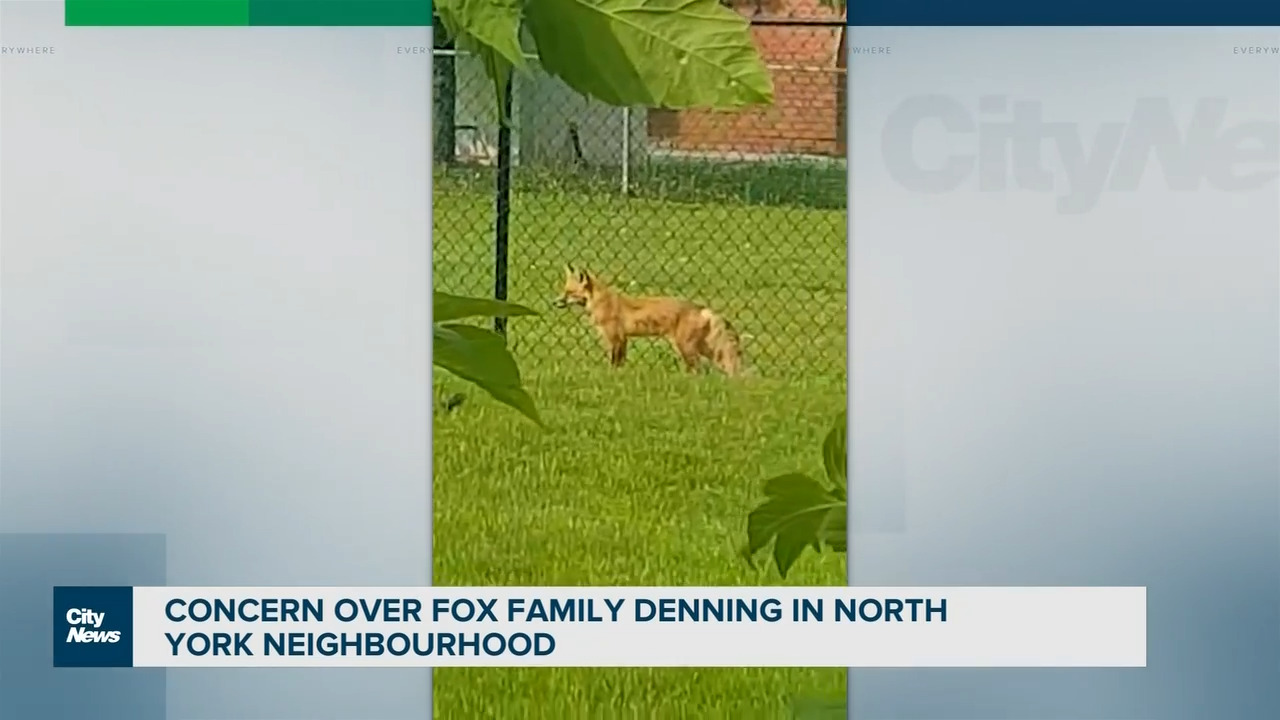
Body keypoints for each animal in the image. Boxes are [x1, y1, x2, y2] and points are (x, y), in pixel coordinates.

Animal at [553, 264, 744, 376]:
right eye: (564, 291)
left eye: (569, 293)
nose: (554, 302)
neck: (601, 302)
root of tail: (701, 308)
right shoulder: (623, 339)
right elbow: (620, 363)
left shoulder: (614, 338)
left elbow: (613, 363)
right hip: (701, 348)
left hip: (685, 347)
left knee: (699, 370)